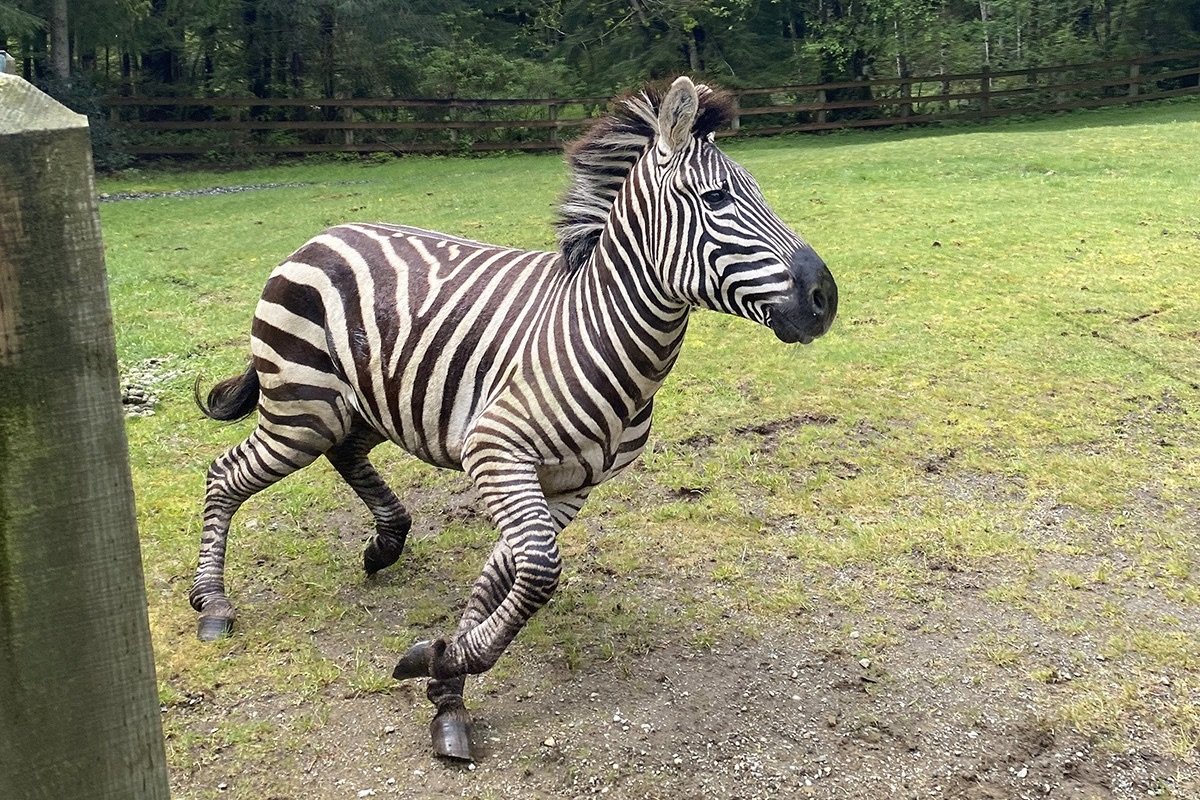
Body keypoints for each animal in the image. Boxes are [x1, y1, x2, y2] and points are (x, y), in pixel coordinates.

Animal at [190, 76, 838, 761]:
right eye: (717, 199)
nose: (825, 297)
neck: (602, 331)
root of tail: (317, 238)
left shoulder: (571, 484)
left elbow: (511, 568)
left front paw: (446, 677)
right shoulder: (495, 451)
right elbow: (540, 569)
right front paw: (443, 665)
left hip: (364, 402)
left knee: (344, 453)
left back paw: (385, 544)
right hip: (300, 407)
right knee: (224, 475)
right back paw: (213, 603)